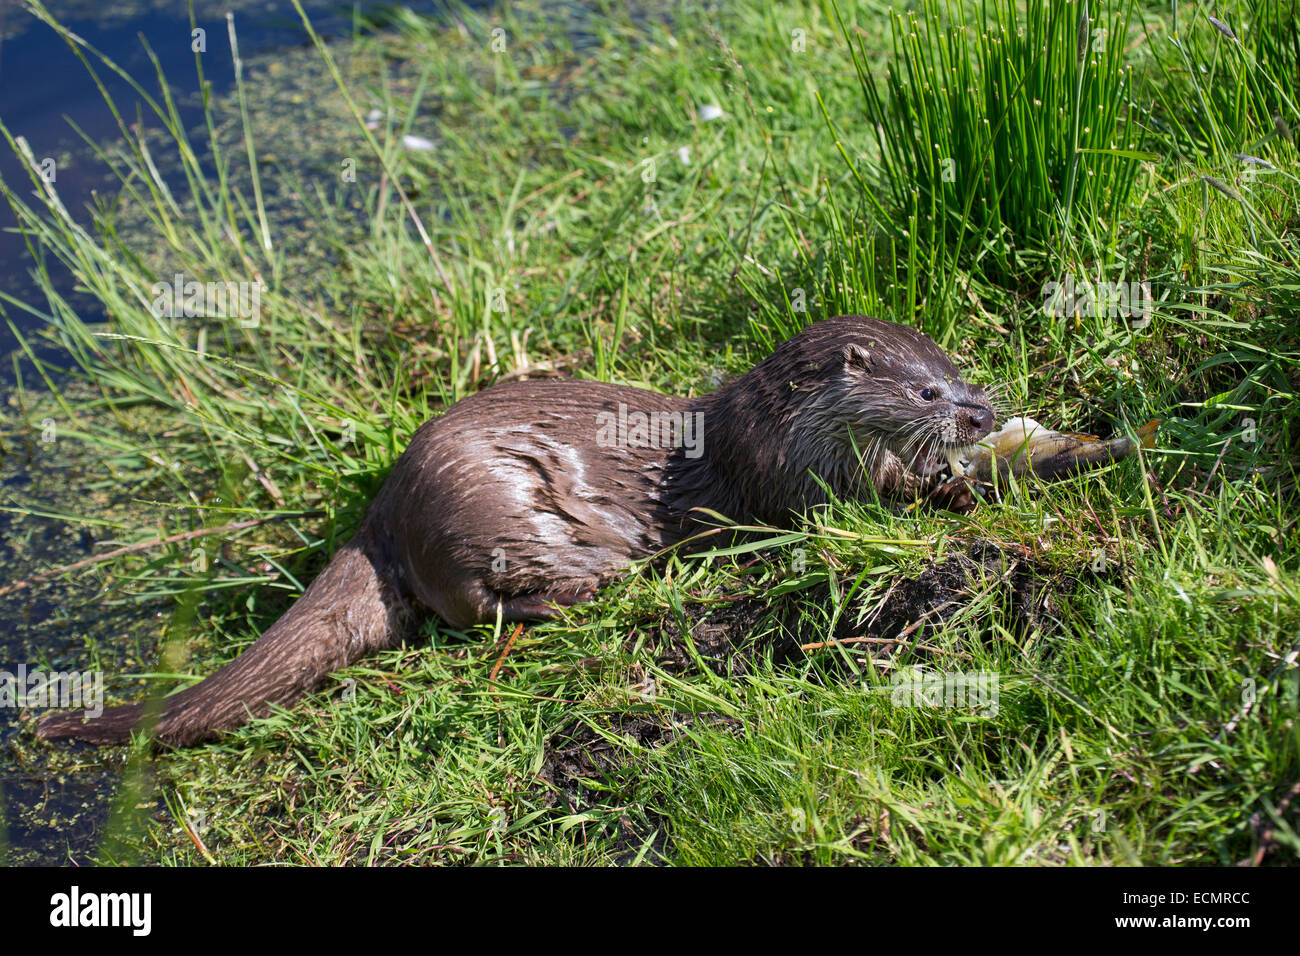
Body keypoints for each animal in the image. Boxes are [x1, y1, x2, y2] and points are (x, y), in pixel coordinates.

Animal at [37, 315, 996, 747]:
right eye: (927, 391)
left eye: (960, 372)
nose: (982, 414)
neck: (765, 429)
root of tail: (383, 509)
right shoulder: (783, 480)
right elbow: (840, 511)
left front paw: (957, 482)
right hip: (480, 505)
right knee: (470, 607)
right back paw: (587, 585)